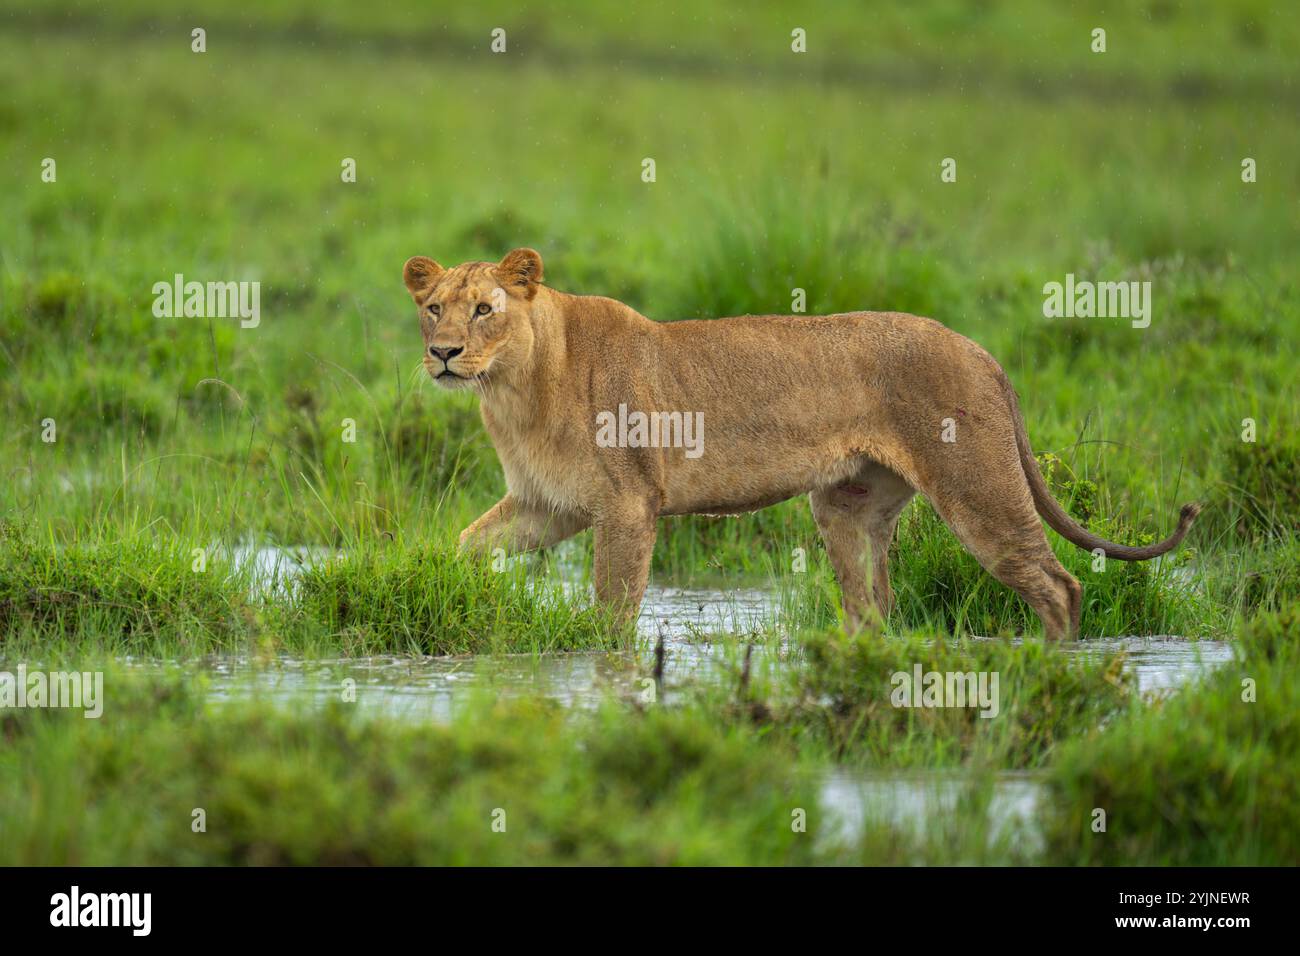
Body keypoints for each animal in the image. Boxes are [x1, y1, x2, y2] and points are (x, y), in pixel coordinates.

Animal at [403, 248, 1199, 641]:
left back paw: (1049, 678)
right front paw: (435, 582)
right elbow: (462, 546)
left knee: (1057, 586)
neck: (513, 390)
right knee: (871, 610)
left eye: (485, 309)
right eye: (434, 308)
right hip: (846, 508)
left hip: (977, 489)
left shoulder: (628, 506)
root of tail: (981, 351)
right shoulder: (547, 505)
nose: (443, 354)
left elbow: (612, 617)